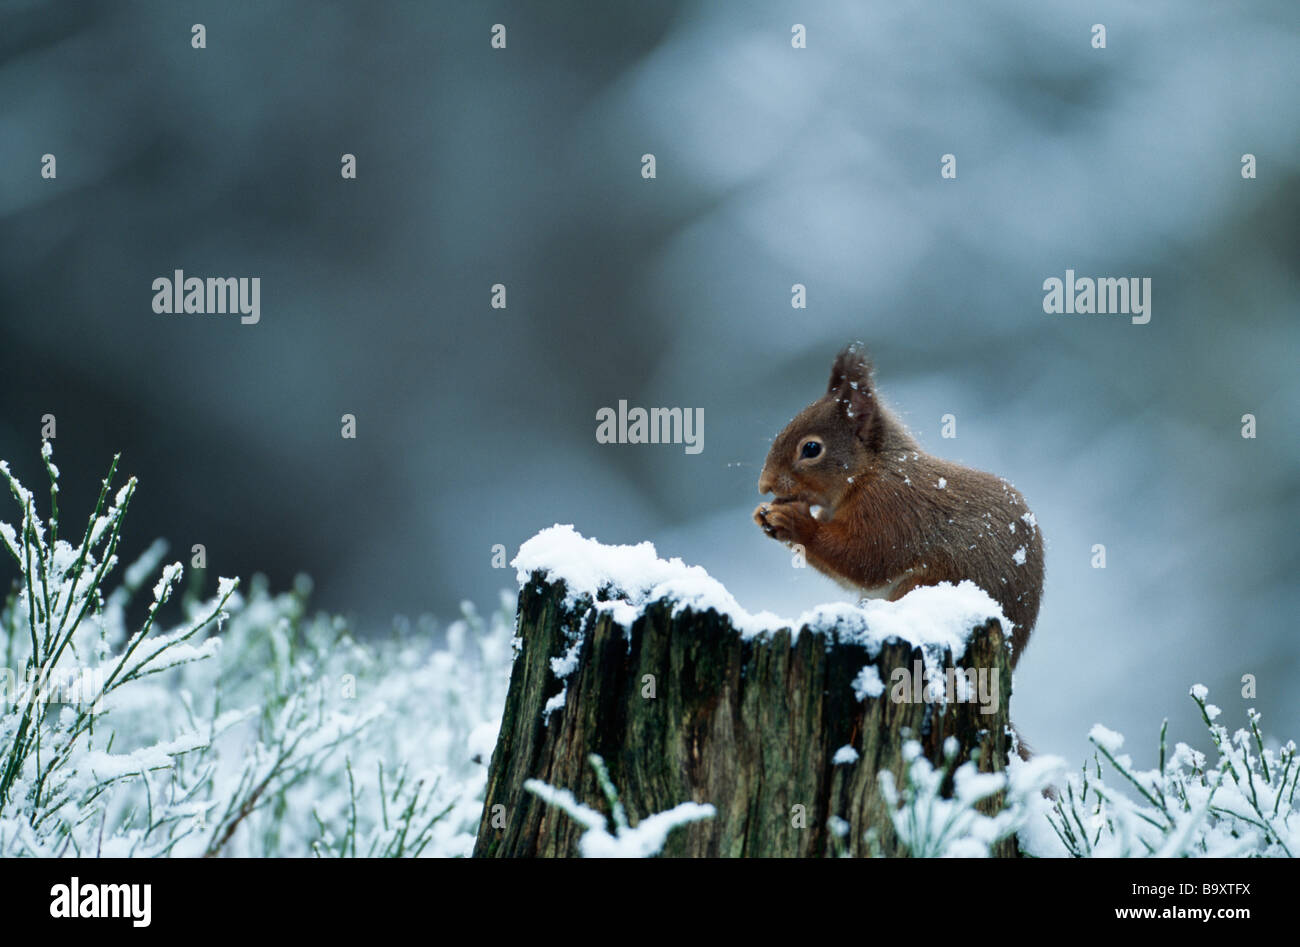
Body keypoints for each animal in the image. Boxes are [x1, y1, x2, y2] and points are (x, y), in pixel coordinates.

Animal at [753, 342, 1045, 676]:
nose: (764, 485)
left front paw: (795, 522)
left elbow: (865, 559)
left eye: (811, 448)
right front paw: (764, 515)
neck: (870, 472)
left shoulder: (892, 509)